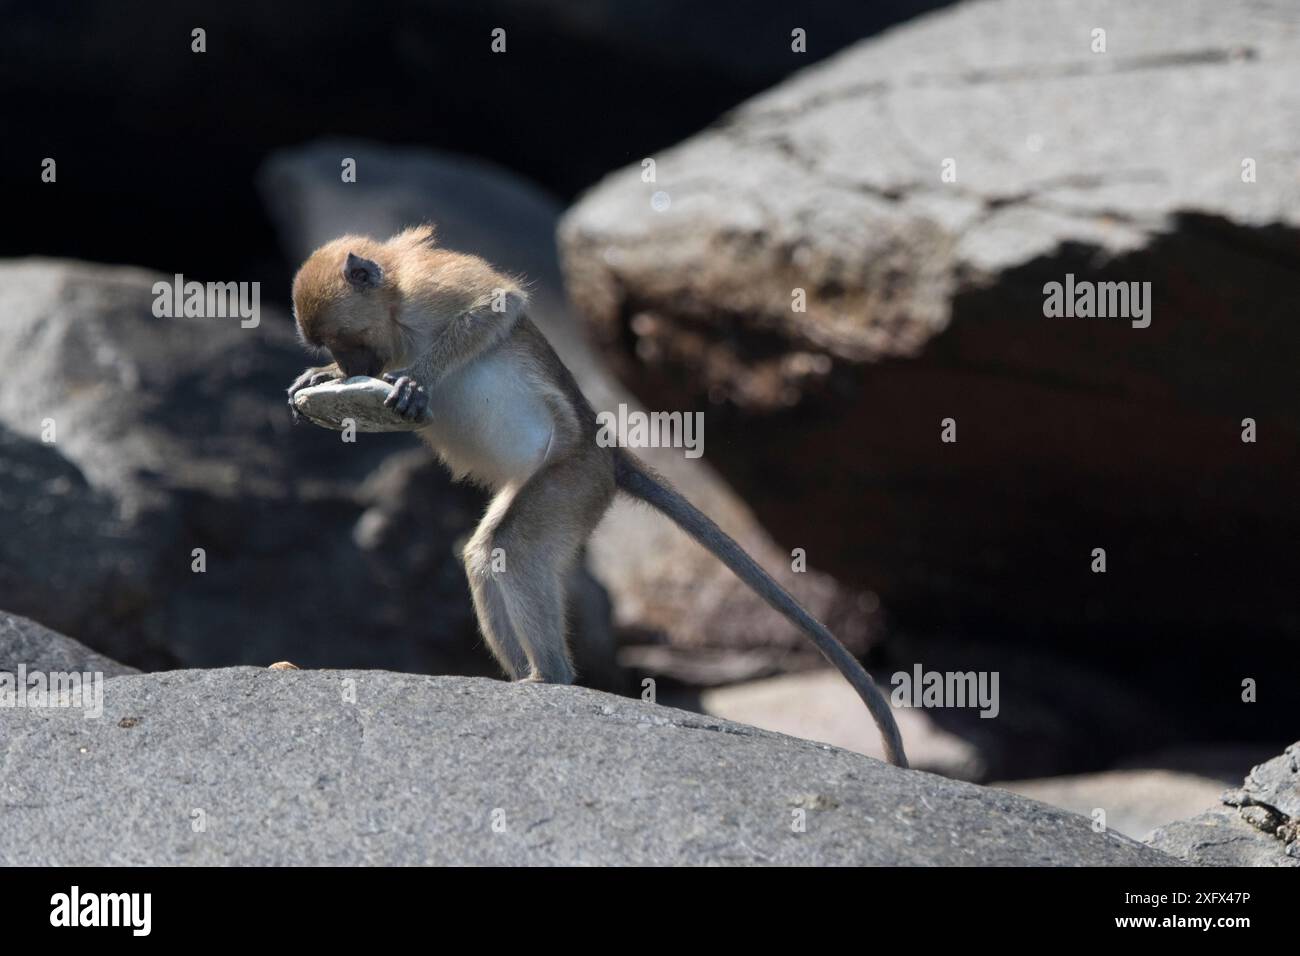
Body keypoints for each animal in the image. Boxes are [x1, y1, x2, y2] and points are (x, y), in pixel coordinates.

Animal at [287, 225, 908, 768]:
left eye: (346, 340)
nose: (349, 366)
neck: (393, 299)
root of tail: (605, 450)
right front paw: (322, 380)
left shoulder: (430, 288)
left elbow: (498, 305)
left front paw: (416, 379)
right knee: (487, 553)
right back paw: (527, 674)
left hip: (573, 478)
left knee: (512, 545)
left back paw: (551, 678)